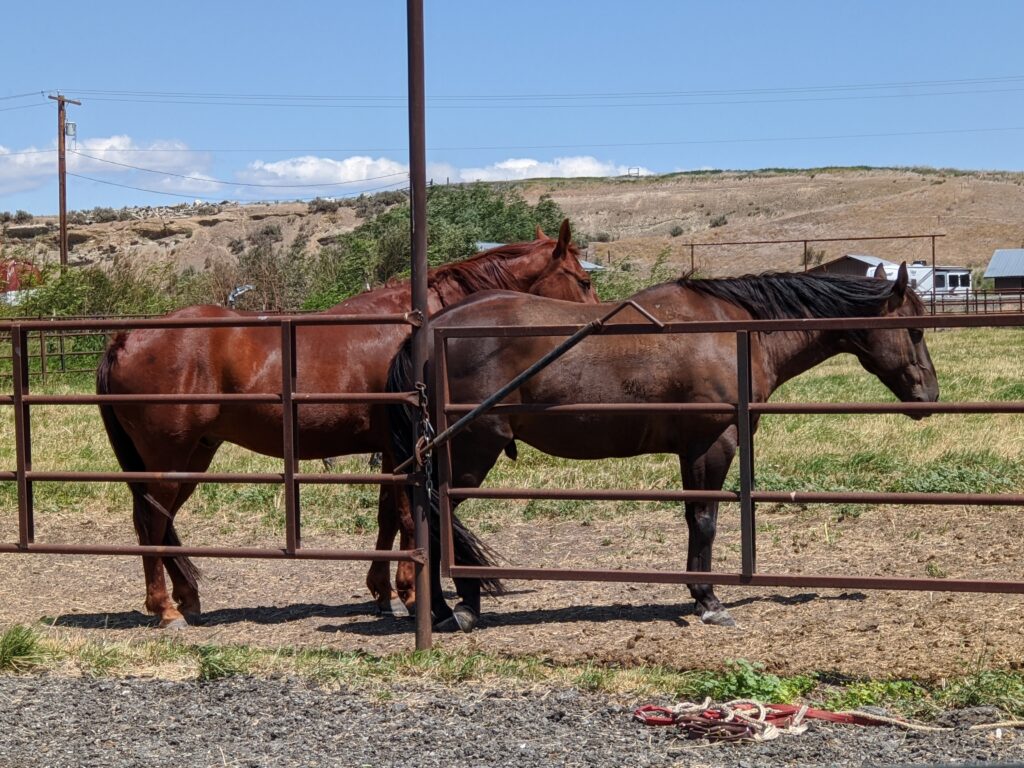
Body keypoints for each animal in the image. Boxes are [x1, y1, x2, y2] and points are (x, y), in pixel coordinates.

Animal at [96, 219, 599, 629]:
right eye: (584, 279)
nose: (598, 323)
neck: (420, 333)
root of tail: (125, 338)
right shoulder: (405, 447)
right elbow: (407, 518)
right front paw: (410, 594)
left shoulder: (392, 452)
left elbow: (388, 517)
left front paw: (384, 591)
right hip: (169, 458)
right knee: (150, 522)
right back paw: (166, 609)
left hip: (195, 454)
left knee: (162, 520)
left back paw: (188, 597)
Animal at [387, 263, 939, 632]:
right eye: (913, 328)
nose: (929, 397)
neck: (734, 329)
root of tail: (428, 333)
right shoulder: (712, 444)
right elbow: (706, 521)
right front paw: (709, 601)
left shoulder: (692, 450)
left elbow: (694, 518)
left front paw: (699, 594)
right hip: (469, 451)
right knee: (438, 519)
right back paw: (460, 608)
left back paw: (441, 608)